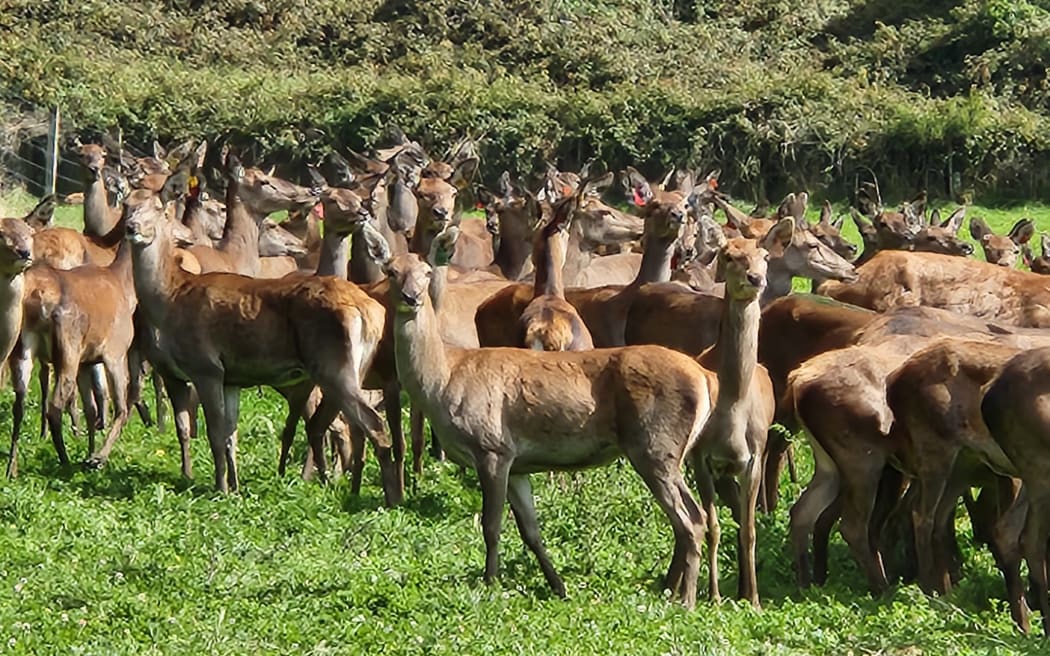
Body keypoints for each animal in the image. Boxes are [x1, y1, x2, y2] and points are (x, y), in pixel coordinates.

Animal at [123, 174, 400, 503]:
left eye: (158, 208)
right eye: (126, 204)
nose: (131, 227)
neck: (171, 297)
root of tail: (370, 310)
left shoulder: (206, 366)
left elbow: (215, 433)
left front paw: (220, 488)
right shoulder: (231, 378)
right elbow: (230, 434)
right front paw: (235, 487)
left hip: (336, 365)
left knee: (372, 424)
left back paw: (388, 497)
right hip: (352, 368)